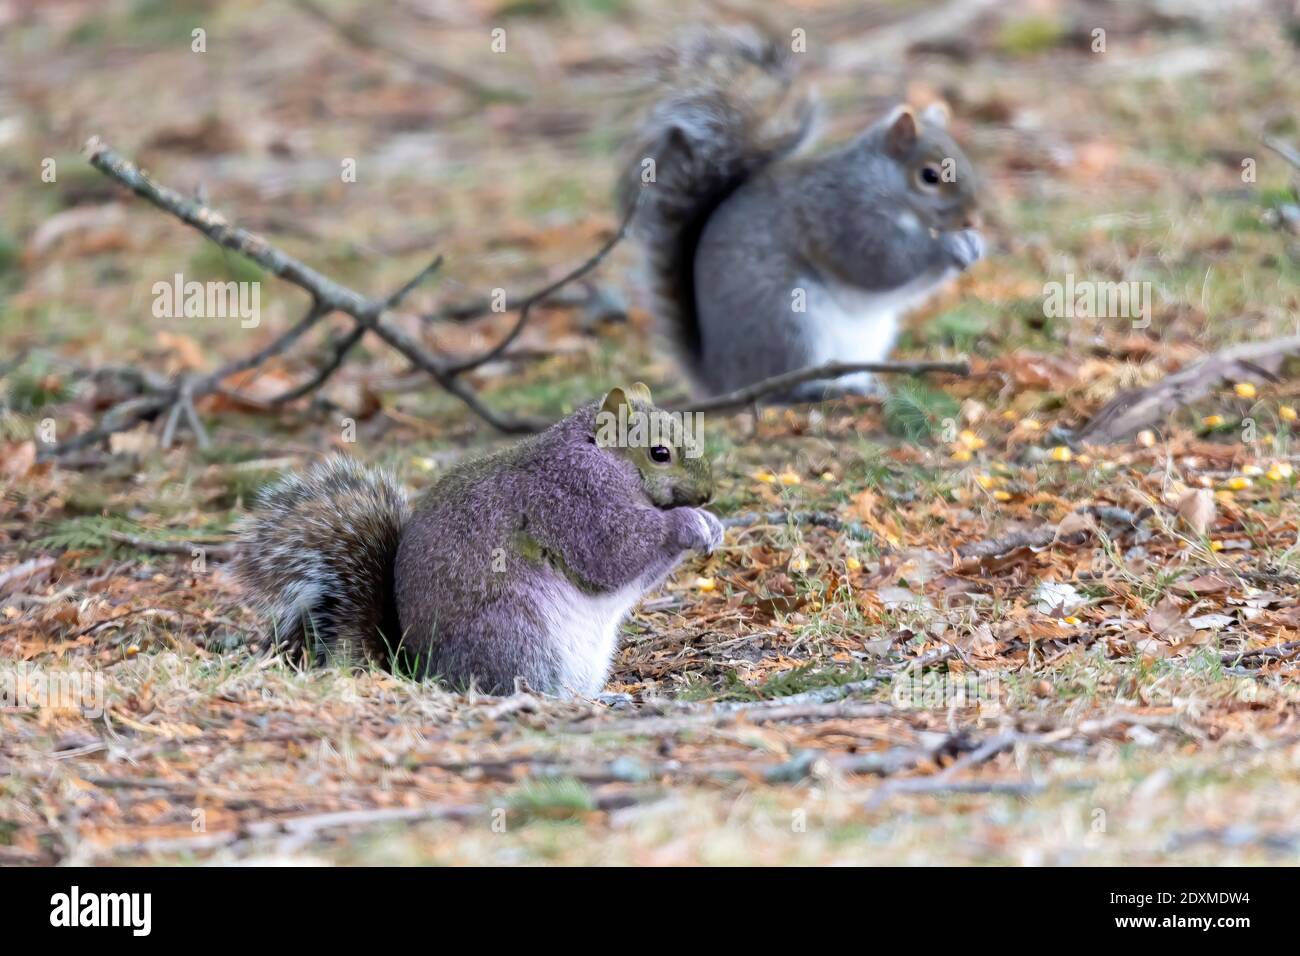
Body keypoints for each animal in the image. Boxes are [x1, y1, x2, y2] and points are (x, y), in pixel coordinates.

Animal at [234, 384, 722, 697]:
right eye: (659, 453)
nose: (707, 494)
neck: (599, 459)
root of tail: (417, 669)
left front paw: (712, 523)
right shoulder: (570, 504)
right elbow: (611, 556)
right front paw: (687, 522)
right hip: (514, 635)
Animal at [618, 28, 986, 400]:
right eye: (929, 176)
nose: (971, 219)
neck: (881, 185)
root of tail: (722, 381)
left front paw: (973, 243)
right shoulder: (842, 215)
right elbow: (880, 266)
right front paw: (944, 247)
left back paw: (861, 383)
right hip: (791, 320)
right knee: (782, 389)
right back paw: (825, 389)